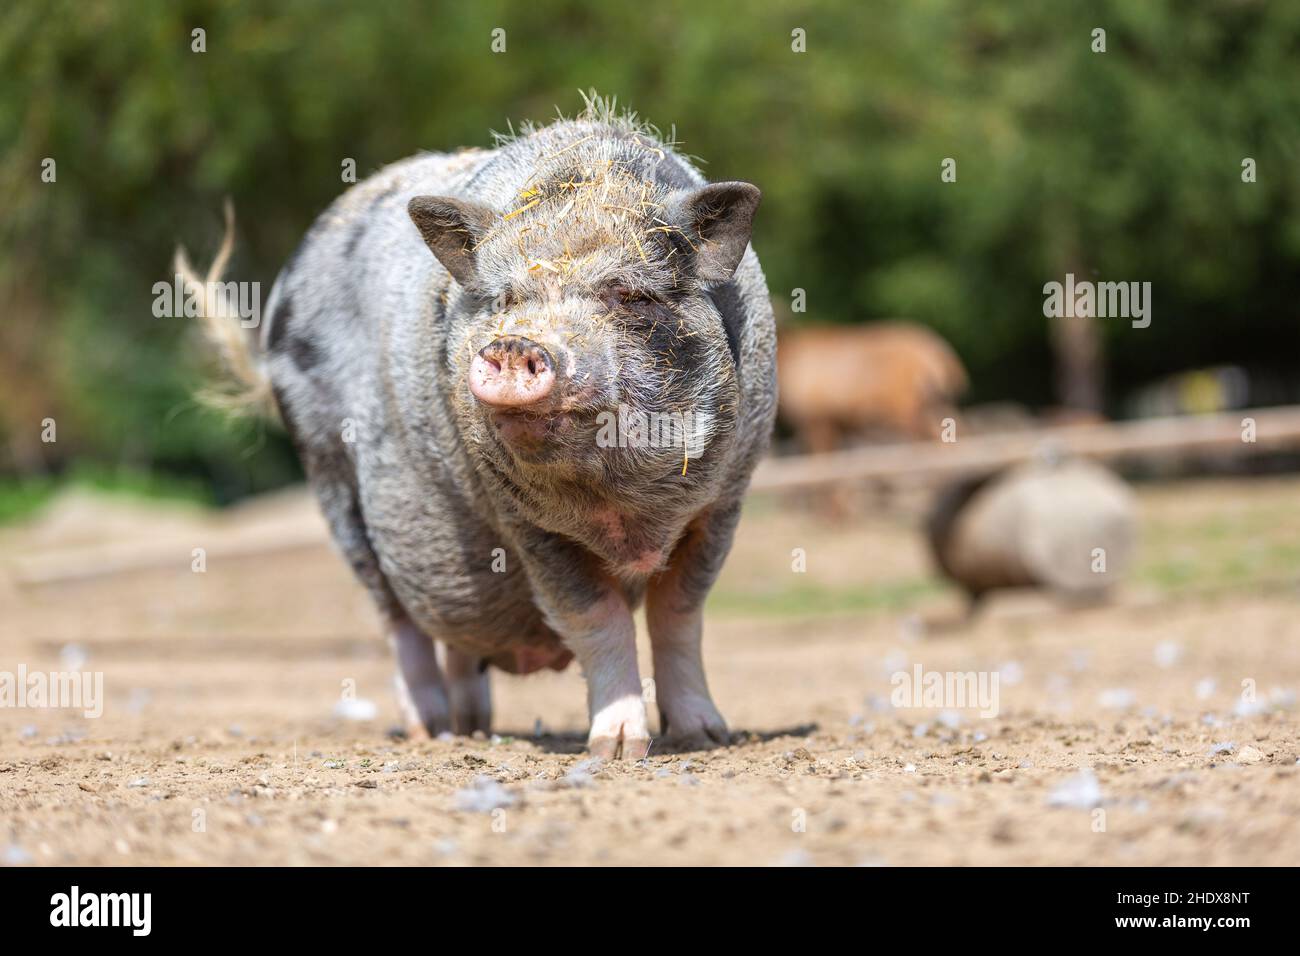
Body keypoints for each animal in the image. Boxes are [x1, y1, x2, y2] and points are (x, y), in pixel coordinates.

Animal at [179, 100, 776, 758]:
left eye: (629, 295)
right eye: (506, 298)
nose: (515, 344)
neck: (629, 521)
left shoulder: (725, 500)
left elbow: (680, 614)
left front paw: (706, 737)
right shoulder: (528, 526)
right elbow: (597, 617)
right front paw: (615, 750)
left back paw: (473, 728)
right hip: (333, 483)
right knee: (399, 623)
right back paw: (428, 732)